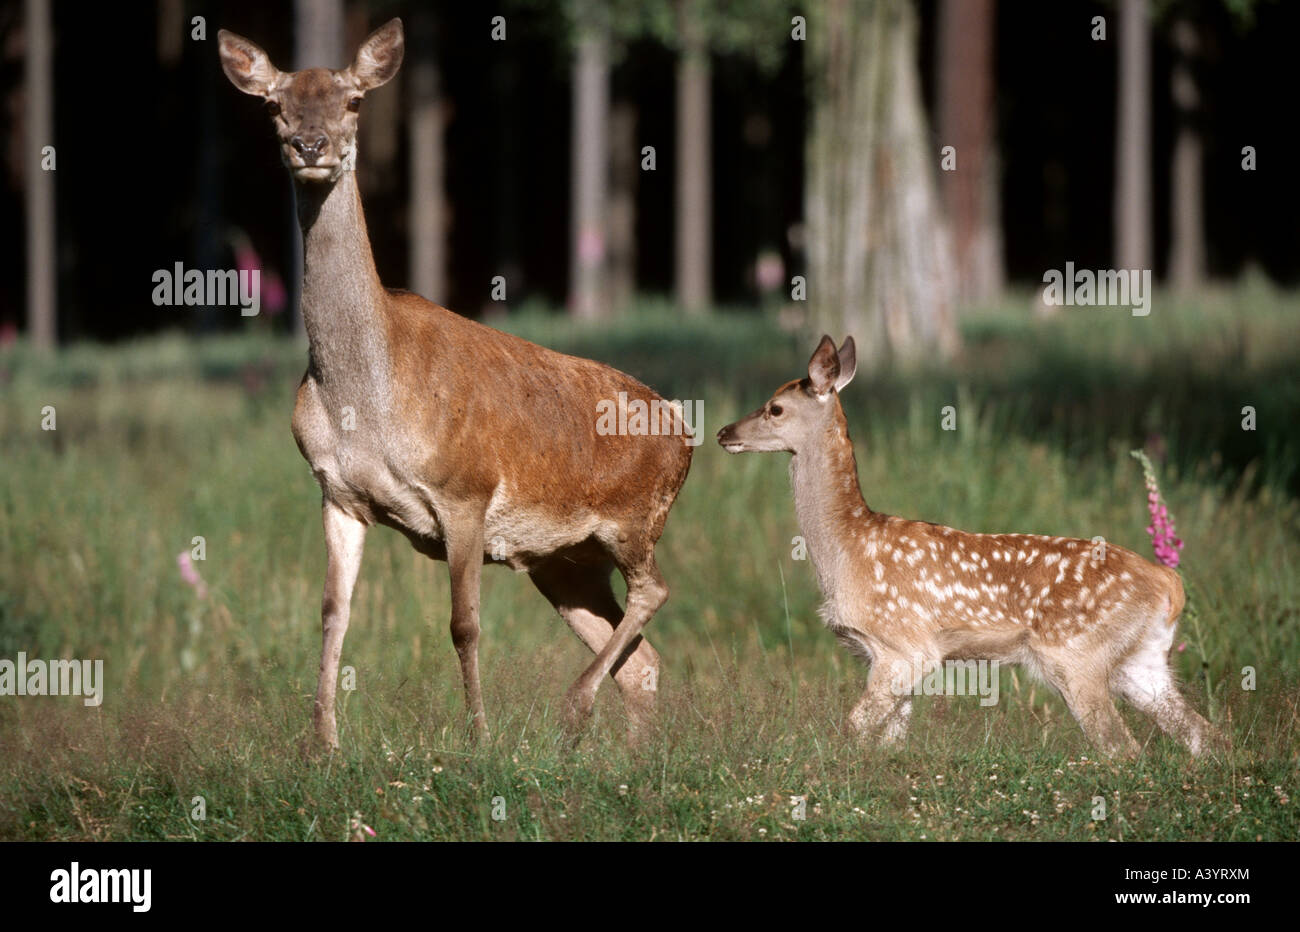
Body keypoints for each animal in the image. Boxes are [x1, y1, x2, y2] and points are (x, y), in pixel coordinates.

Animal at [217, 19, 692, 750]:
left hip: (637, 516)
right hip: (563, 559)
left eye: (354, 100)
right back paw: (631, 754)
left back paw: (574, 707)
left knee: (655, 595)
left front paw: (478, 739)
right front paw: (322, 744)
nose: (311, 146)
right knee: (641, 661)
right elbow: (331, 614)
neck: (363, 401)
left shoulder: (464, 491)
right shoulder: (336, 494)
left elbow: (464, 625)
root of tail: (687, 435)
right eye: (275, 105)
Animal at [717, 335, 1224, 759]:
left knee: (1122, 747)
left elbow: (853, 728)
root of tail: (1168, 581)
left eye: (775, 408)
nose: (723, 432)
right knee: (1204, 734)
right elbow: (890, 742)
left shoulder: (906, 644)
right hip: (1142, 659)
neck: (846, 545)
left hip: (1076, 652)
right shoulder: (894, 655)